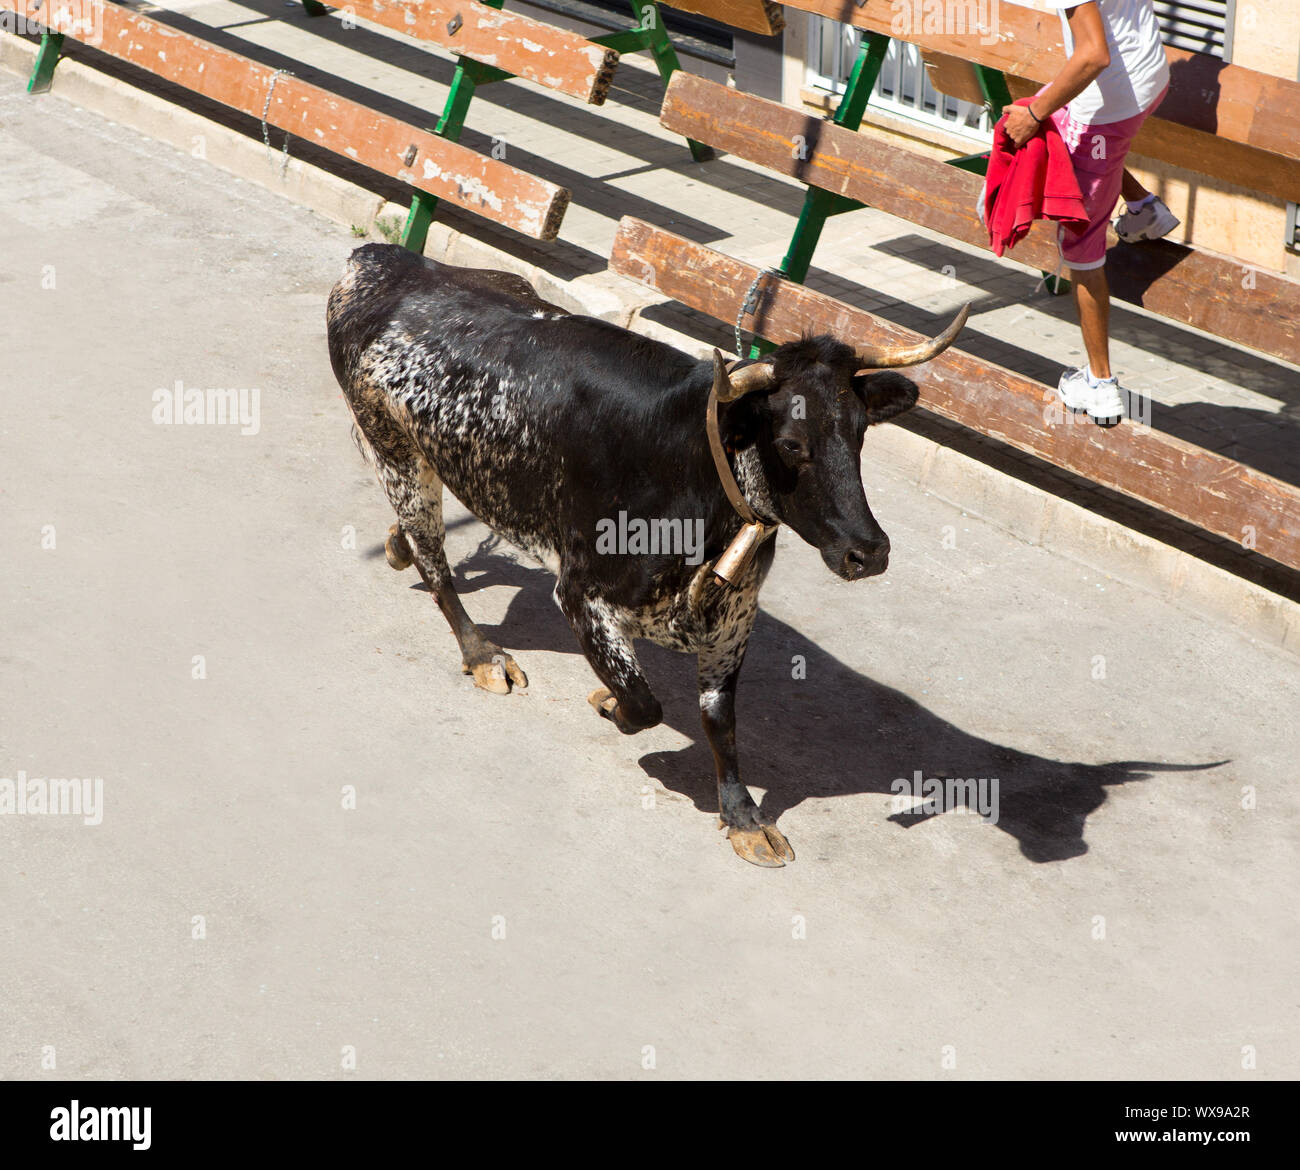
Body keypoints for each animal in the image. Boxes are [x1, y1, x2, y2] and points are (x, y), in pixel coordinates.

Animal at [327, 244, 967, 866]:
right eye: (791, 444)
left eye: (859, 434)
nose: (869, 551)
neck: (693, 474)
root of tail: (379, 259)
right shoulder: (582, 595)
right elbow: (644, 703)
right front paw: (611, 702)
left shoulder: (733, 620)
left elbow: (719, 719)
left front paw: (743, 817)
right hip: (398, 453)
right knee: (436, 561)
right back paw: (482, 652)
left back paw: (396, 547)